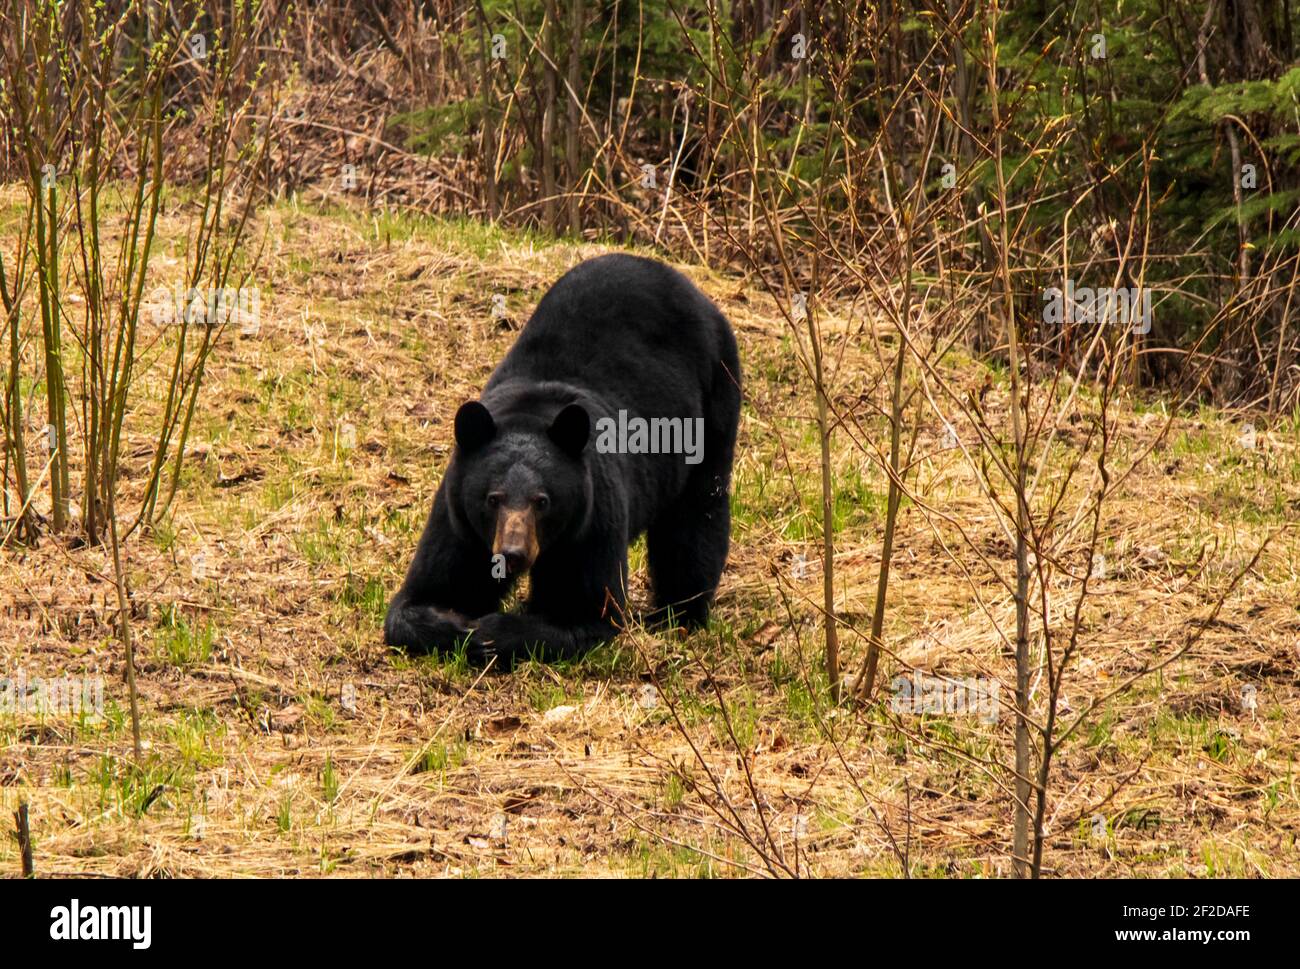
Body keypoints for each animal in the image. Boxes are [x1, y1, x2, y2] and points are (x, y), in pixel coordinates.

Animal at [383, 253, 741, 668]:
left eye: (542, 501)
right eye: (492, 499)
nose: (513, 554)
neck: (529, 413)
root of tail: (680, 280)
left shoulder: (591, 518)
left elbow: (588, 611)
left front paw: (492, 631)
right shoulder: (460, 518)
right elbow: (421, 595)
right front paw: (457, 624)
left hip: (716, 396)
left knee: (696, 517)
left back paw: (680, 614)